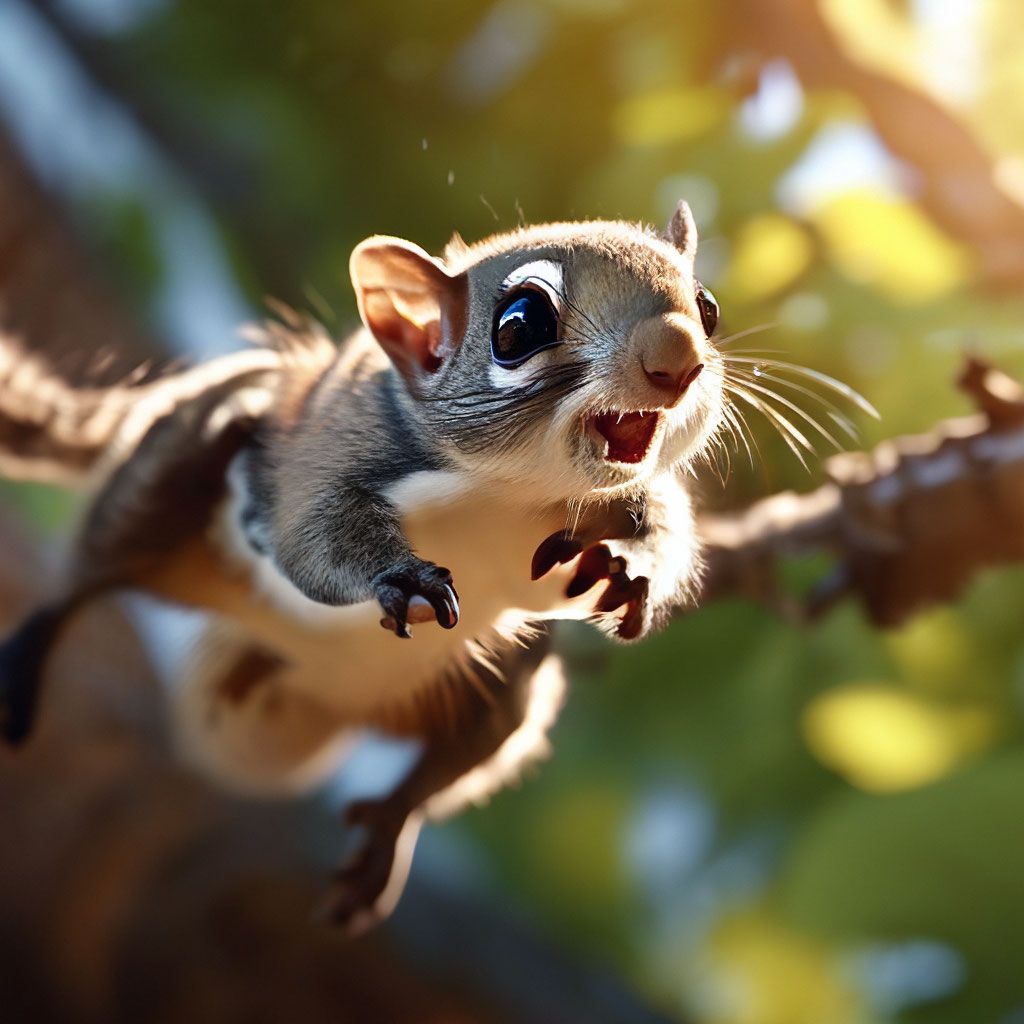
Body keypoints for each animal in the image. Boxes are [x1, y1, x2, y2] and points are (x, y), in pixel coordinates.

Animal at [0, 201, 724, 931]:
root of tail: (321, 687)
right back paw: (33, 649)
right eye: (520, 324)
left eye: (706, 307)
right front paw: (402, 578)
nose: (678, 361)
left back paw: (387, 827)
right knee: (96, 565)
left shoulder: (624, 493)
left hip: (490, 682)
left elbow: (666, 521)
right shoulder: (329, 453)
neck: (511, 487)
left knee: (468, 749)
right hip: (180, 470)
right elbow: (310, 532)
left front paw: (628, 568)